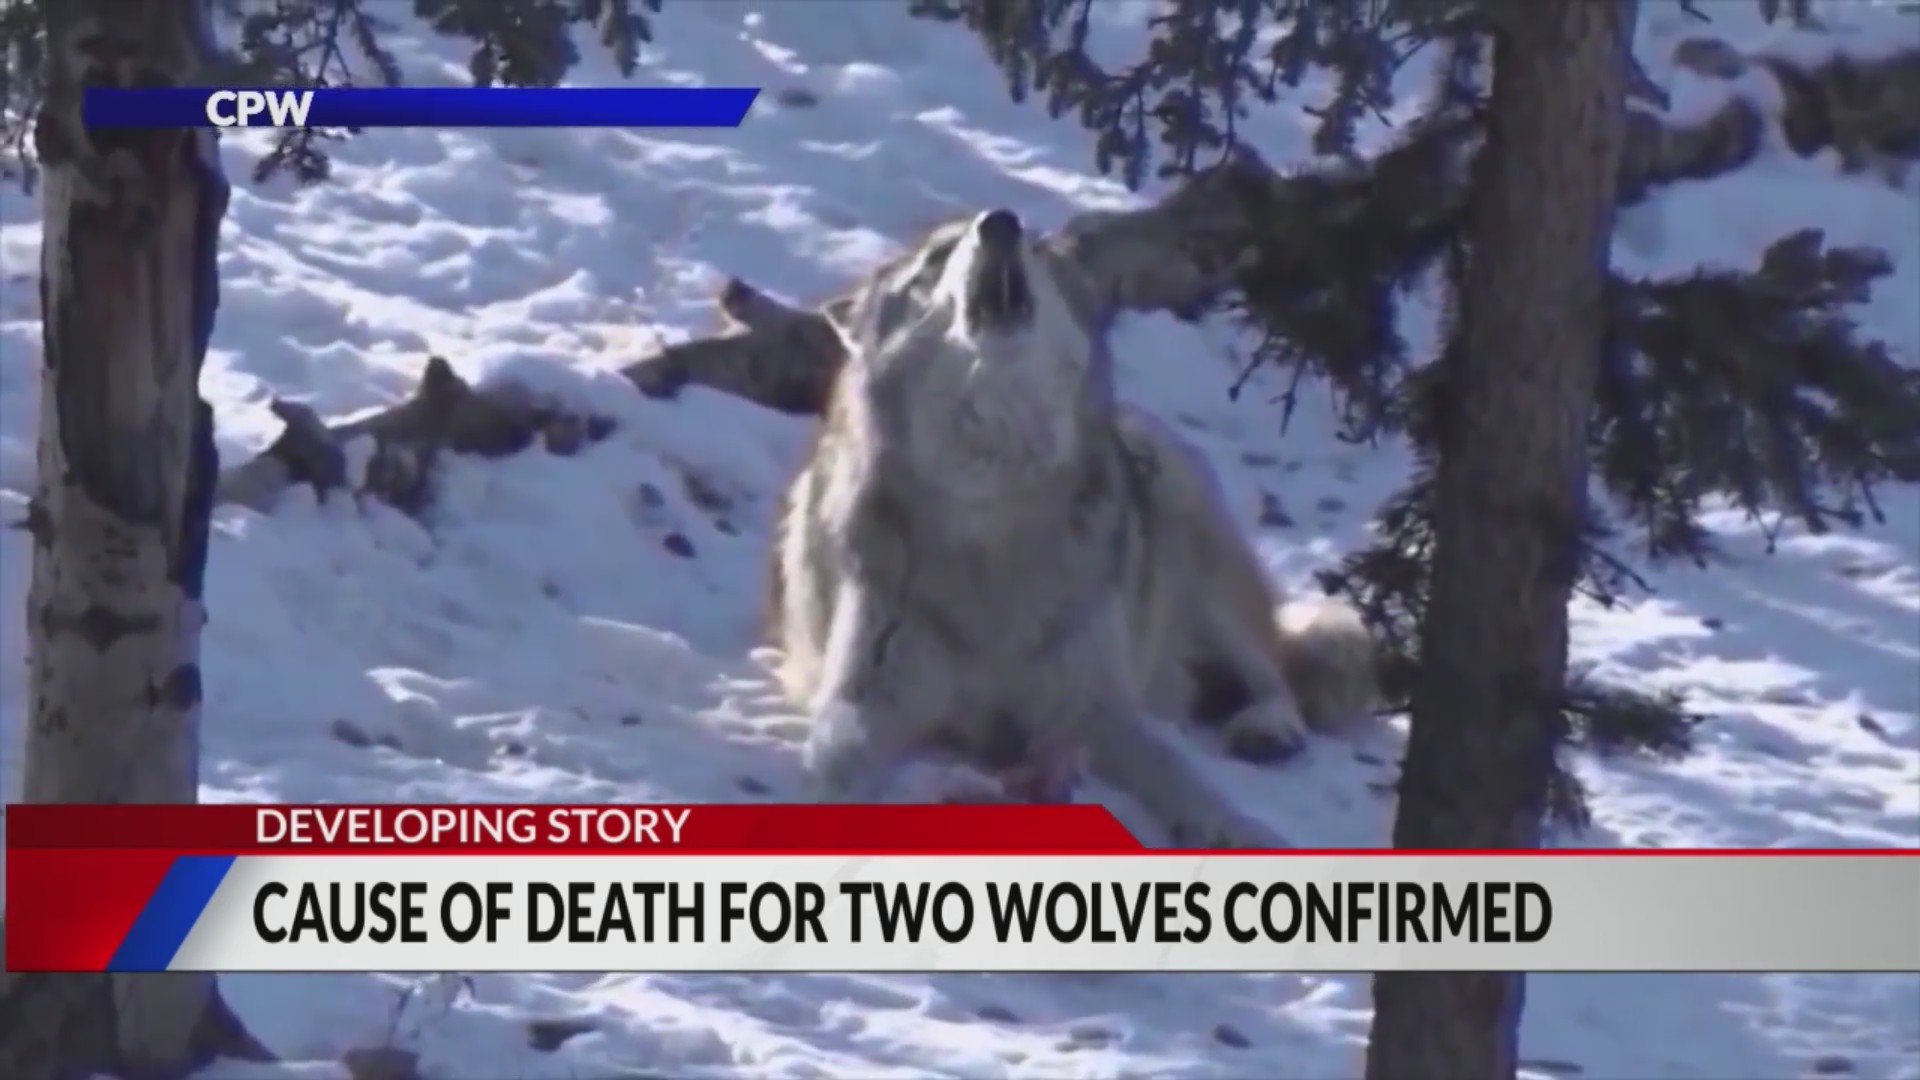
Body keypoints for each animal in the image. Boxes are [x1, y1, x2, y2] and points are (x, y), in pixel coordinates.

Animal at [763, 208, 1376, 847]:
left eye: (1034, 248)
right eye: (937, 256)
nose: (1000, 223)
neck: (991, 511)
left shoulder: (1097, 711)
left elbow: (1183, 777)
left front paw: (1241, 832)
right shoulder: (863, 704)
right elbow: (837, 766)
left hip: (1204, 577)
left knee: (1274, 674)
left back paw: (1269, 728)